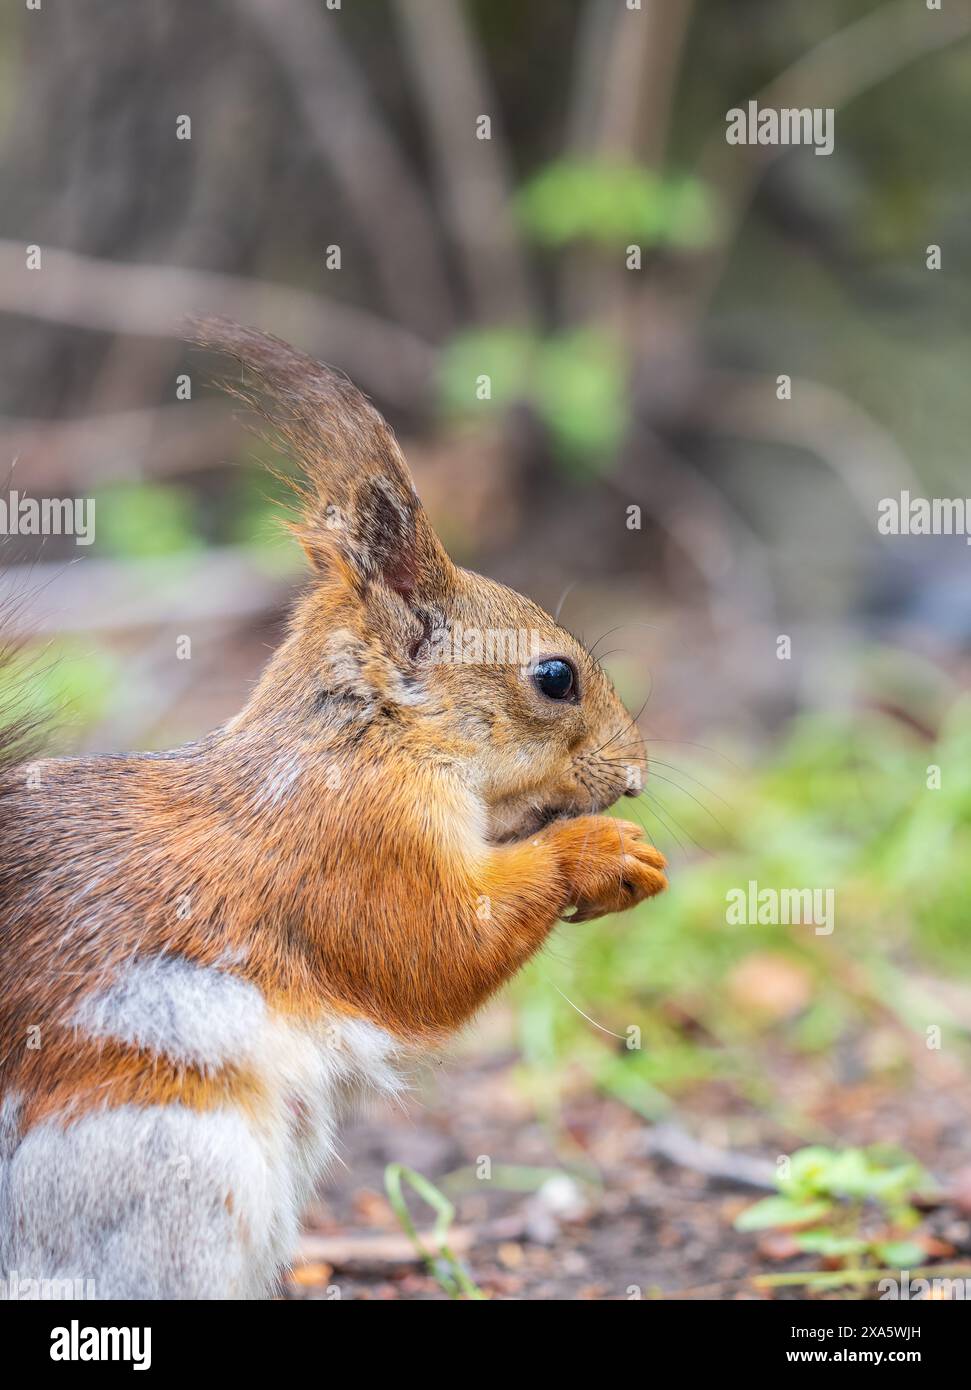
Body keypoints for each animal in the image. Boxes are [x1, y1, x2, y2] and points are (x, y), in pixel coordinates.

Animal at [0, 319, 666, 1300]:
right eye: (555, 677)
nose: (637, 775)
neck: (372, 737)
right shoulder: (353, 841)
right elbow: (433, 948)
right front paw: (603, 853)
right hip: (166, 1169)